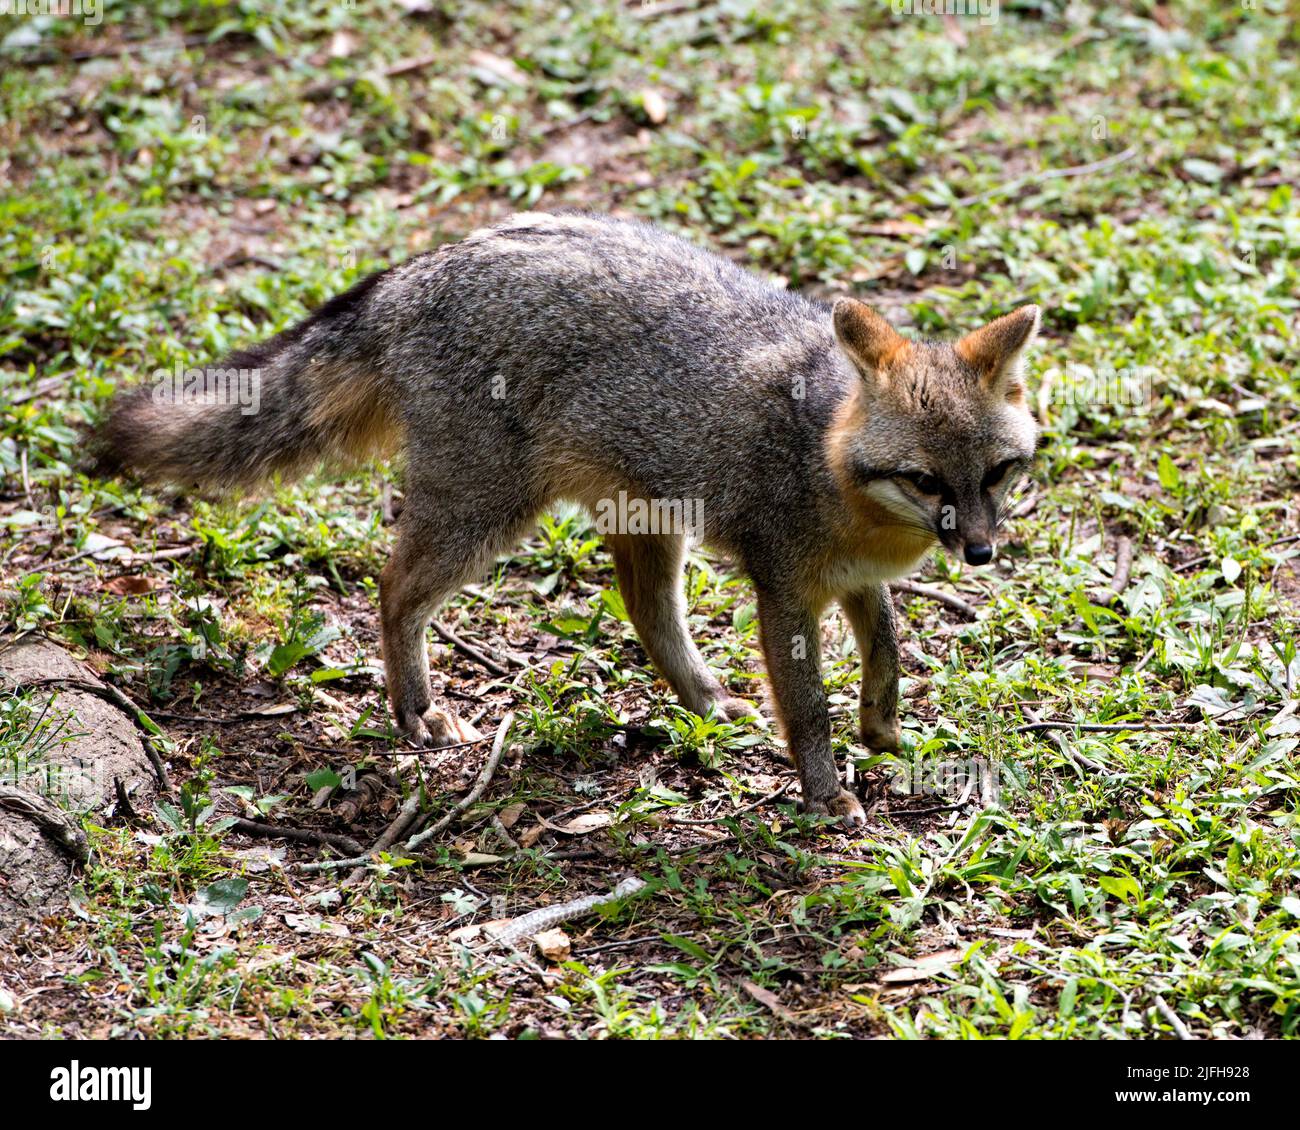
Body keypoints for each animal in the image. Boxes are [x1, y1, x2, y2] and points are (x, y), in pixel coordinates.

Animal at [100, 211, 1042, 826]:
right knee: (394, 588)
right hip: (486, 516)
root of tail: (422, 268)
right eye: (924, 479)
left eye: (998, 472)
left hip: (647, 522)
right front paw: (825, 792)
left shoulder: (851, 580)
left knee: (648, 615)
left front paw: (883, 730)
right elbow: (808, 705)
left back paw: (704, 701)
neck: (825, 451)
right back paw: (416, 710)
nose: (981, 553)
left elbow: (889, 651)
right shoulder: (784, 590)